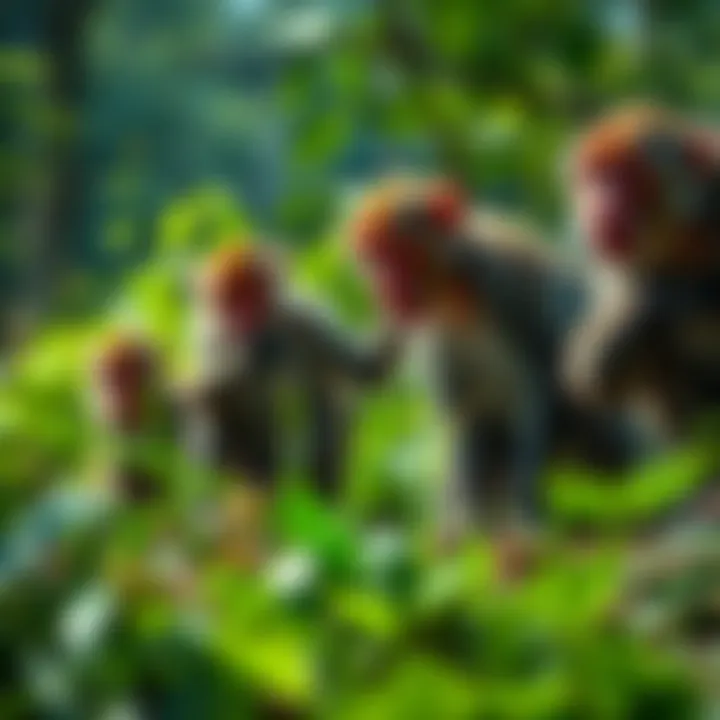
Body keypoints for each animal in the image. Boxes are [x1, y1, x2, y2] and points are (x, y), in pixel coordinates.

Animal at [184, 243, 399, 502]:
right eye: (232, 303)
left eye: (255, 298)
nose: (247, 320)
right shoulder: (211, 341)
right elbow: (214, 396)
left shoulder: (303, 320)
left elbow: (366, 370)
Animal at [350, 176, 649, 536]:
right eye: (374, 260)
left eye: (396, 255)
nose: (383, 287)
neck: (456, 295)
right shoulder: (431, 330)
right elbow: (465, 416)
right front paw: (464, 524)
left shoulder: (504, 283)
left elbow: (532, 395)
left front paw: (527, 518)